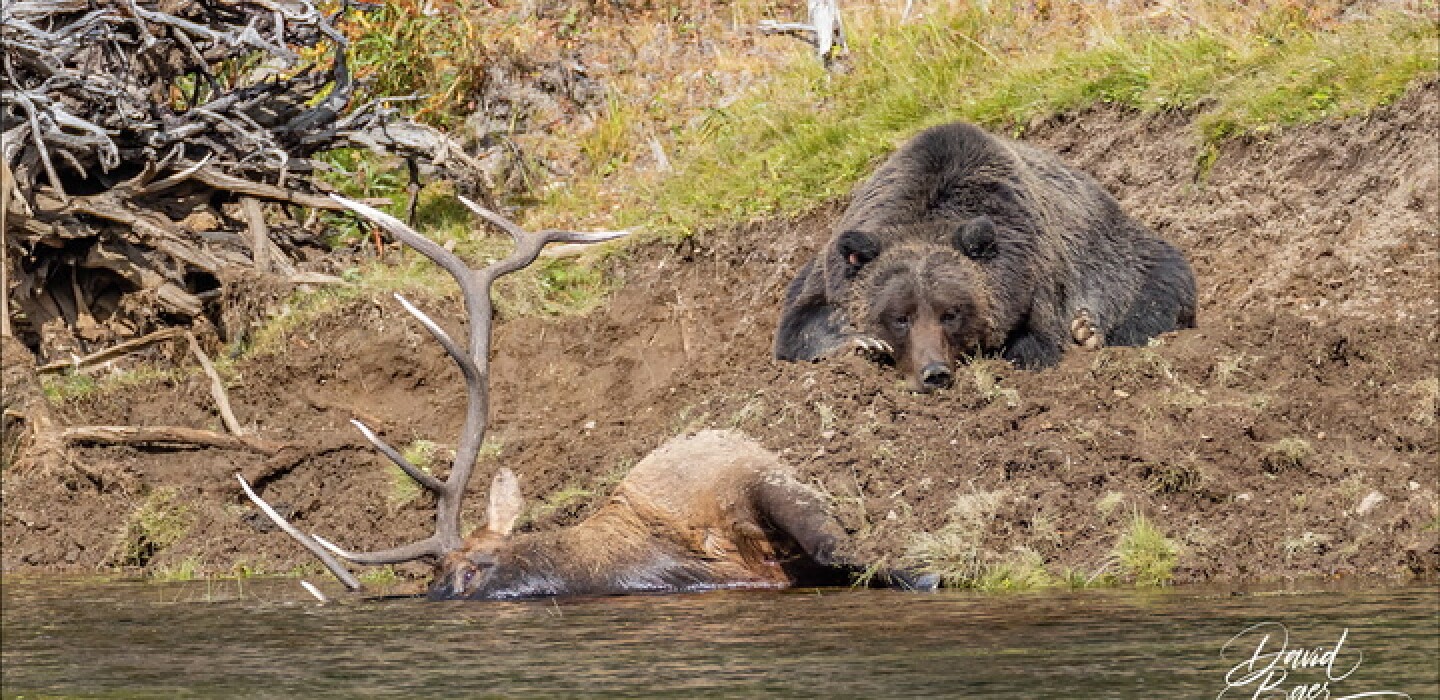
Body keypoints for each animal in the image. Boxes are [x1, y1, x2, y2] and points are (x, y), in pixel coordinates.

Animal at [774, 121, 1196, 392]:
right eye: (899, 317)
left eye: (951, 312)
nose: (934, 373)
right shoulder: (831, 270)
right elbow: (800, 326)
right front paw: (863, 343)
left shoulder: (1032, 272)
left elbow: (1034, 344)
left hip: (1117, 250)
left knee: (1152, 290)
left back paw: (1089, 330)